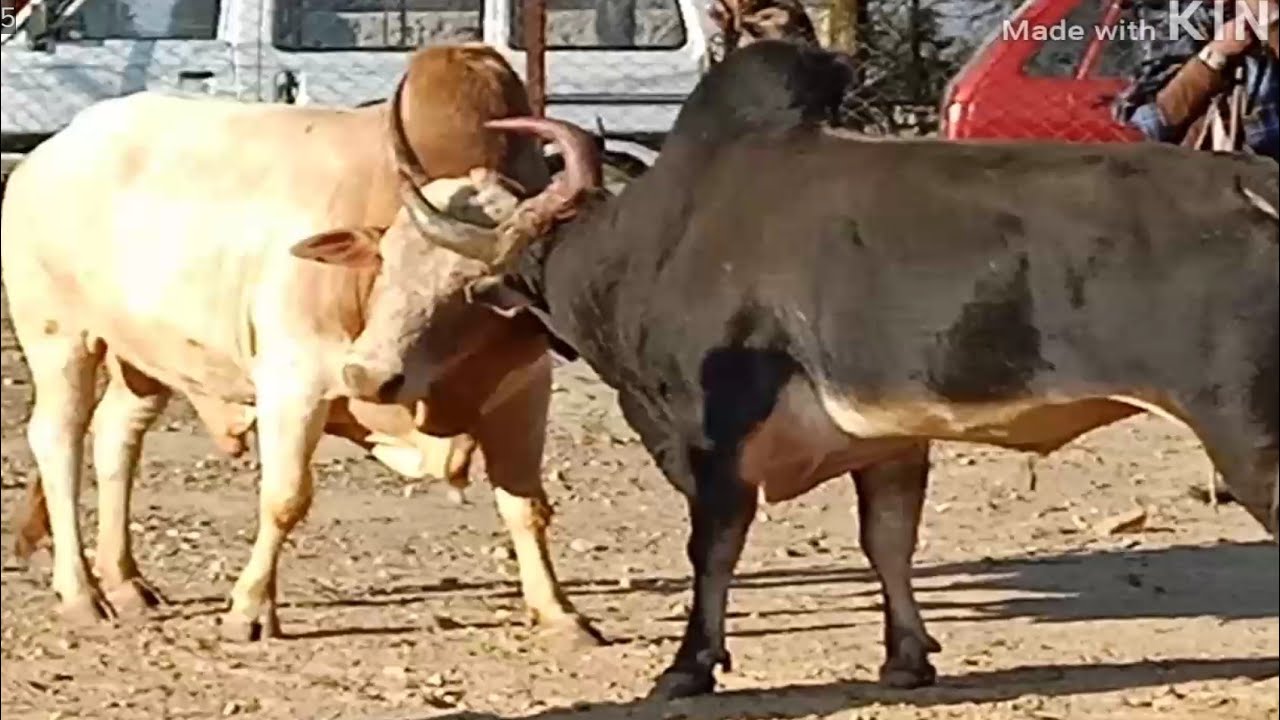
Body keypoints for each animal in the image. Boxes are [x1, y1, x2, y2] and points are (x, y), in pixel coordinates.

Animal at [1, 44, 602, 647]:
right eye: (385, 262)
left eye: (477, 287)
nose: (367, 375)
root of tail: (51, 150)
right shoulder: (295, 383)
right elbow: (286, 499)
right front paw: (248, 610)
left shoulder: (524, 395)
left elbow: (525, 506)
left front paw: (561, 613)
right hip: (58, 335)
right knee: (58, 440)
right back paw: (81, 593)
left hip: (144, 359)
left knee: (116, 436)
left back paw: (125, 582)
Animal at [336, 41, 1278, 699]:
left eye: (457, 285)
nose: (372, 378)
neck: (638, 249)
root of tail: (1257, 185)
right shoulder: (892, 438)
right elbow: (887, 542)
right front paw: (906, 659)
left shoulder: (706, 438)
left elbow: (712, 550)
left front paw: (689, 666)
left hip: (1249, 440)